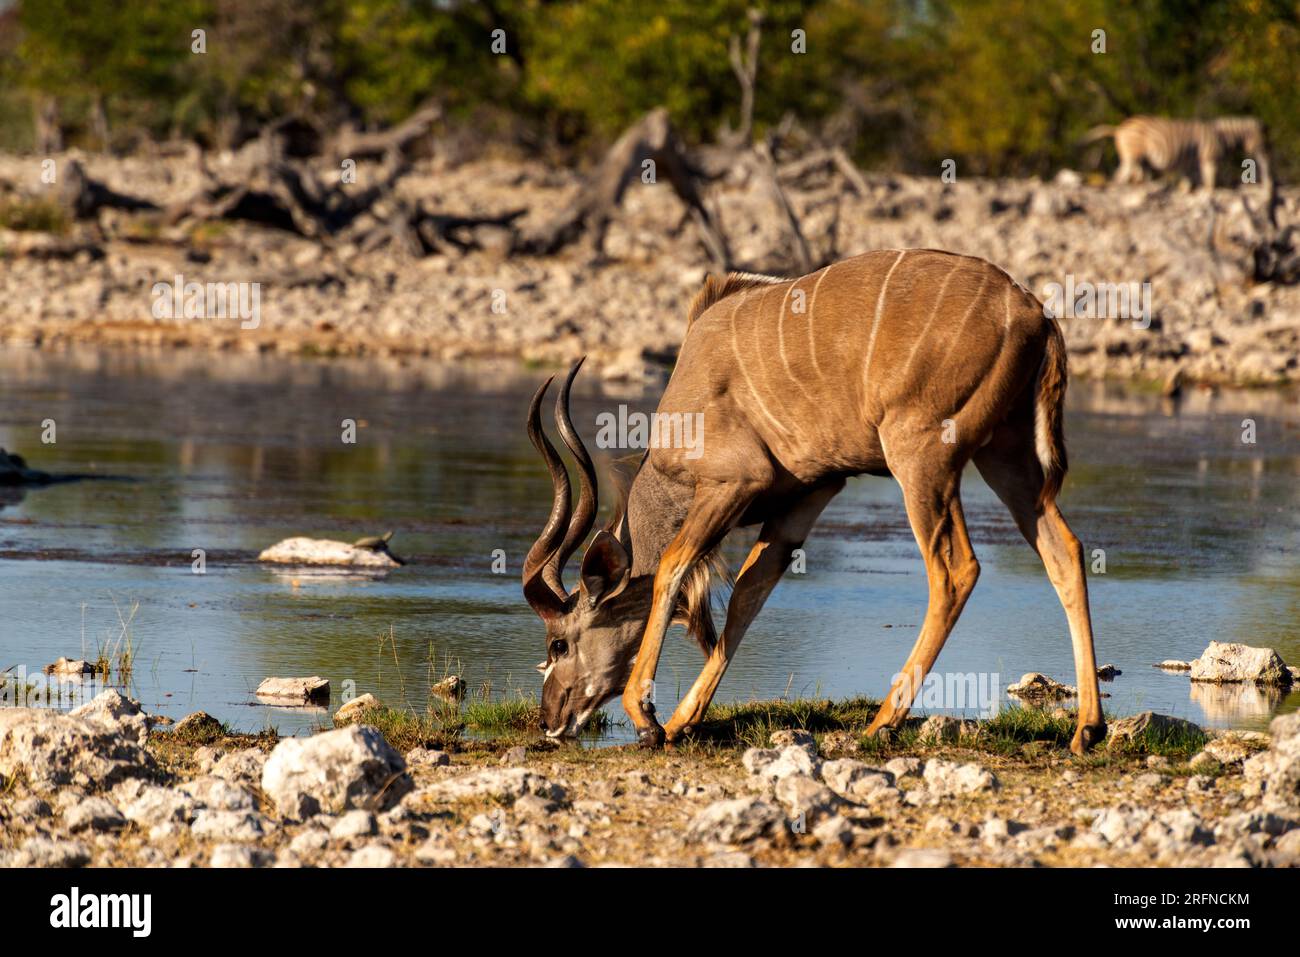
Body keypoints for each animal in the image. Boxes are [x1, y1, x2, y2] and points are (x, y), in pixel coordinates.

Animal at [523, 248, 1107, 755]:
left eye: (559, 644)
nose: (552, 719)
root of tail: (1034, 313)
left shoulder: (734, 482)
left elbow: (673, 564)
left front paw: (648, 720)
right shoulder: (809, 494)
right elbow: (748, 592)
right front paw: (684, 719)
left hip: (922, 459)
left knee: (955, 570)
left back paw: (881, 723)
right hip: (1005, 457)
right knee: (1065, 550)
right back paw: (1087, 730)